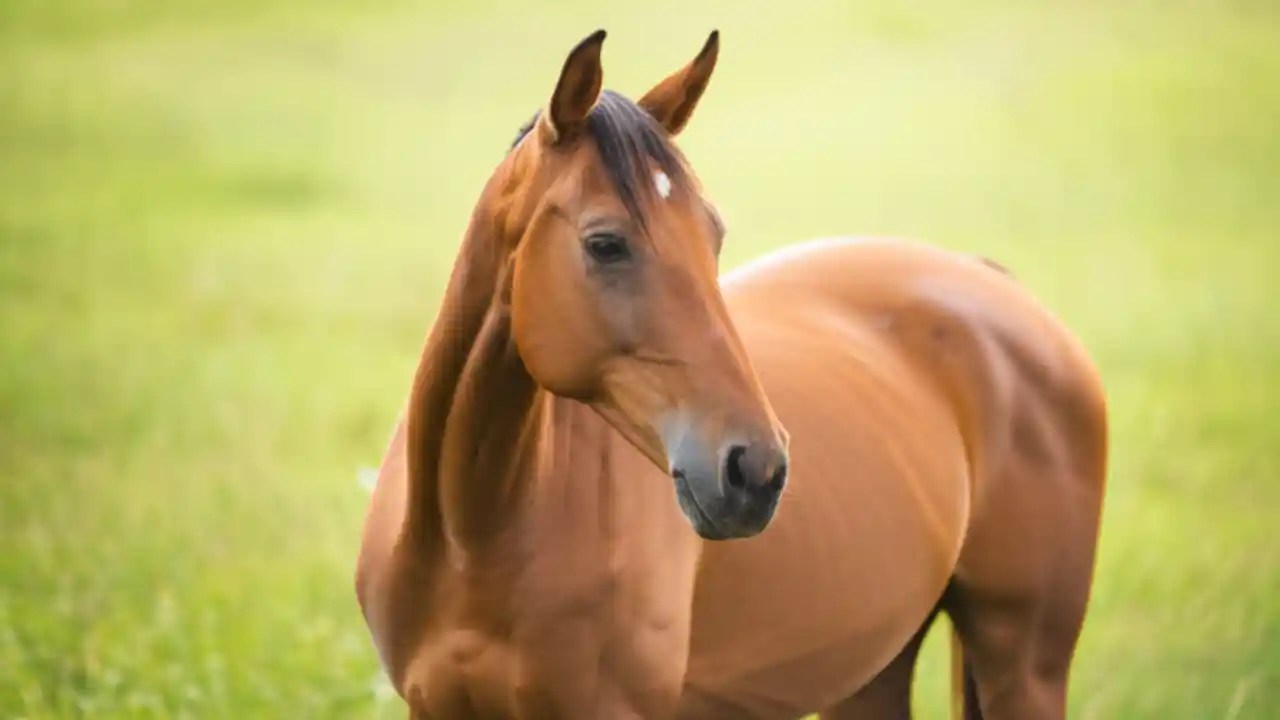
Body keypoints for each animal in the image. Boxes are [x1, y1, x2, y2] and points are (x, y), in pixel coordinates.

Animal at [355, 29, 1107, 720]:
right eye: (605, 244)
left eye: (712, 235)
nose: (757, 471)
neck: (472, 539)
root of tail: (993, 282)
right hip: (873, 670)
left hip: (1025, 665)